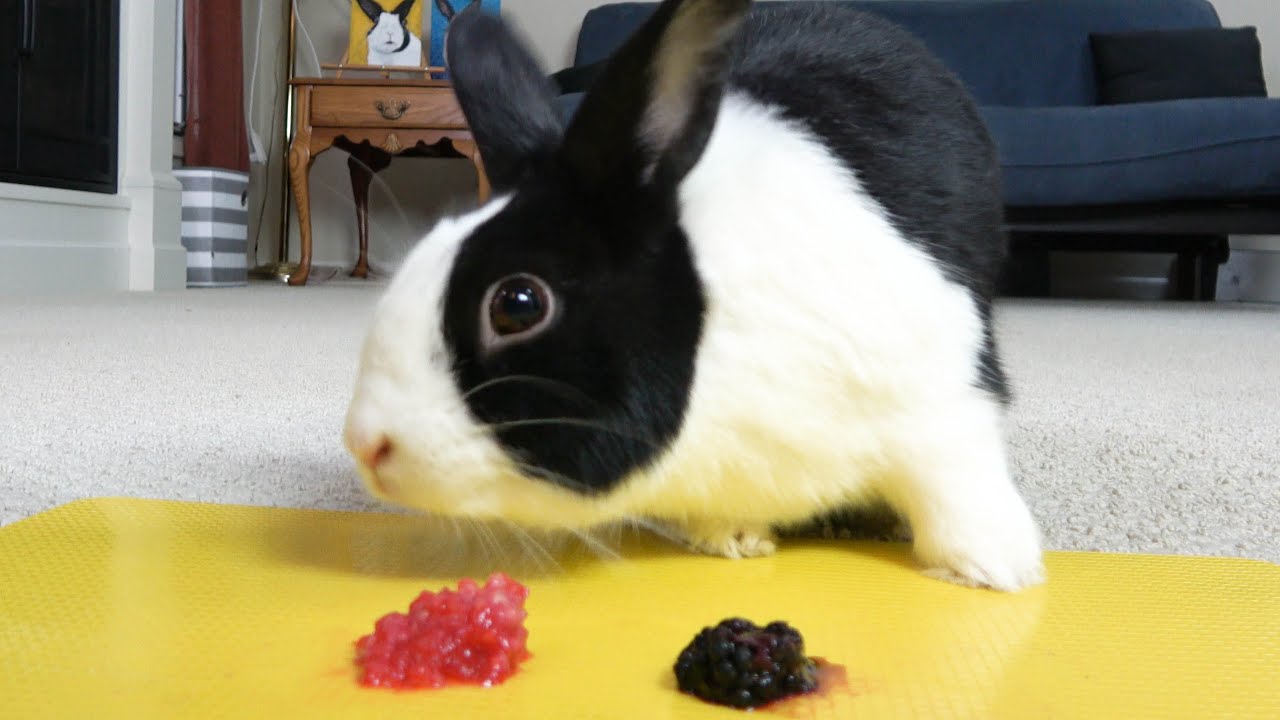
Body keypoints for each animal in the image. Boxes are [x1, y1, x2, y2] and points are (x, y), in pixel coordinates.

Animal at [343, 0, 1046, 592]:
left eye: (518, 304)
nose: (366, 445)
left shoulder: (944, 395)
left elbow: (954, 480)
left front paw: (994, 568)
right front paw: (731, 540)